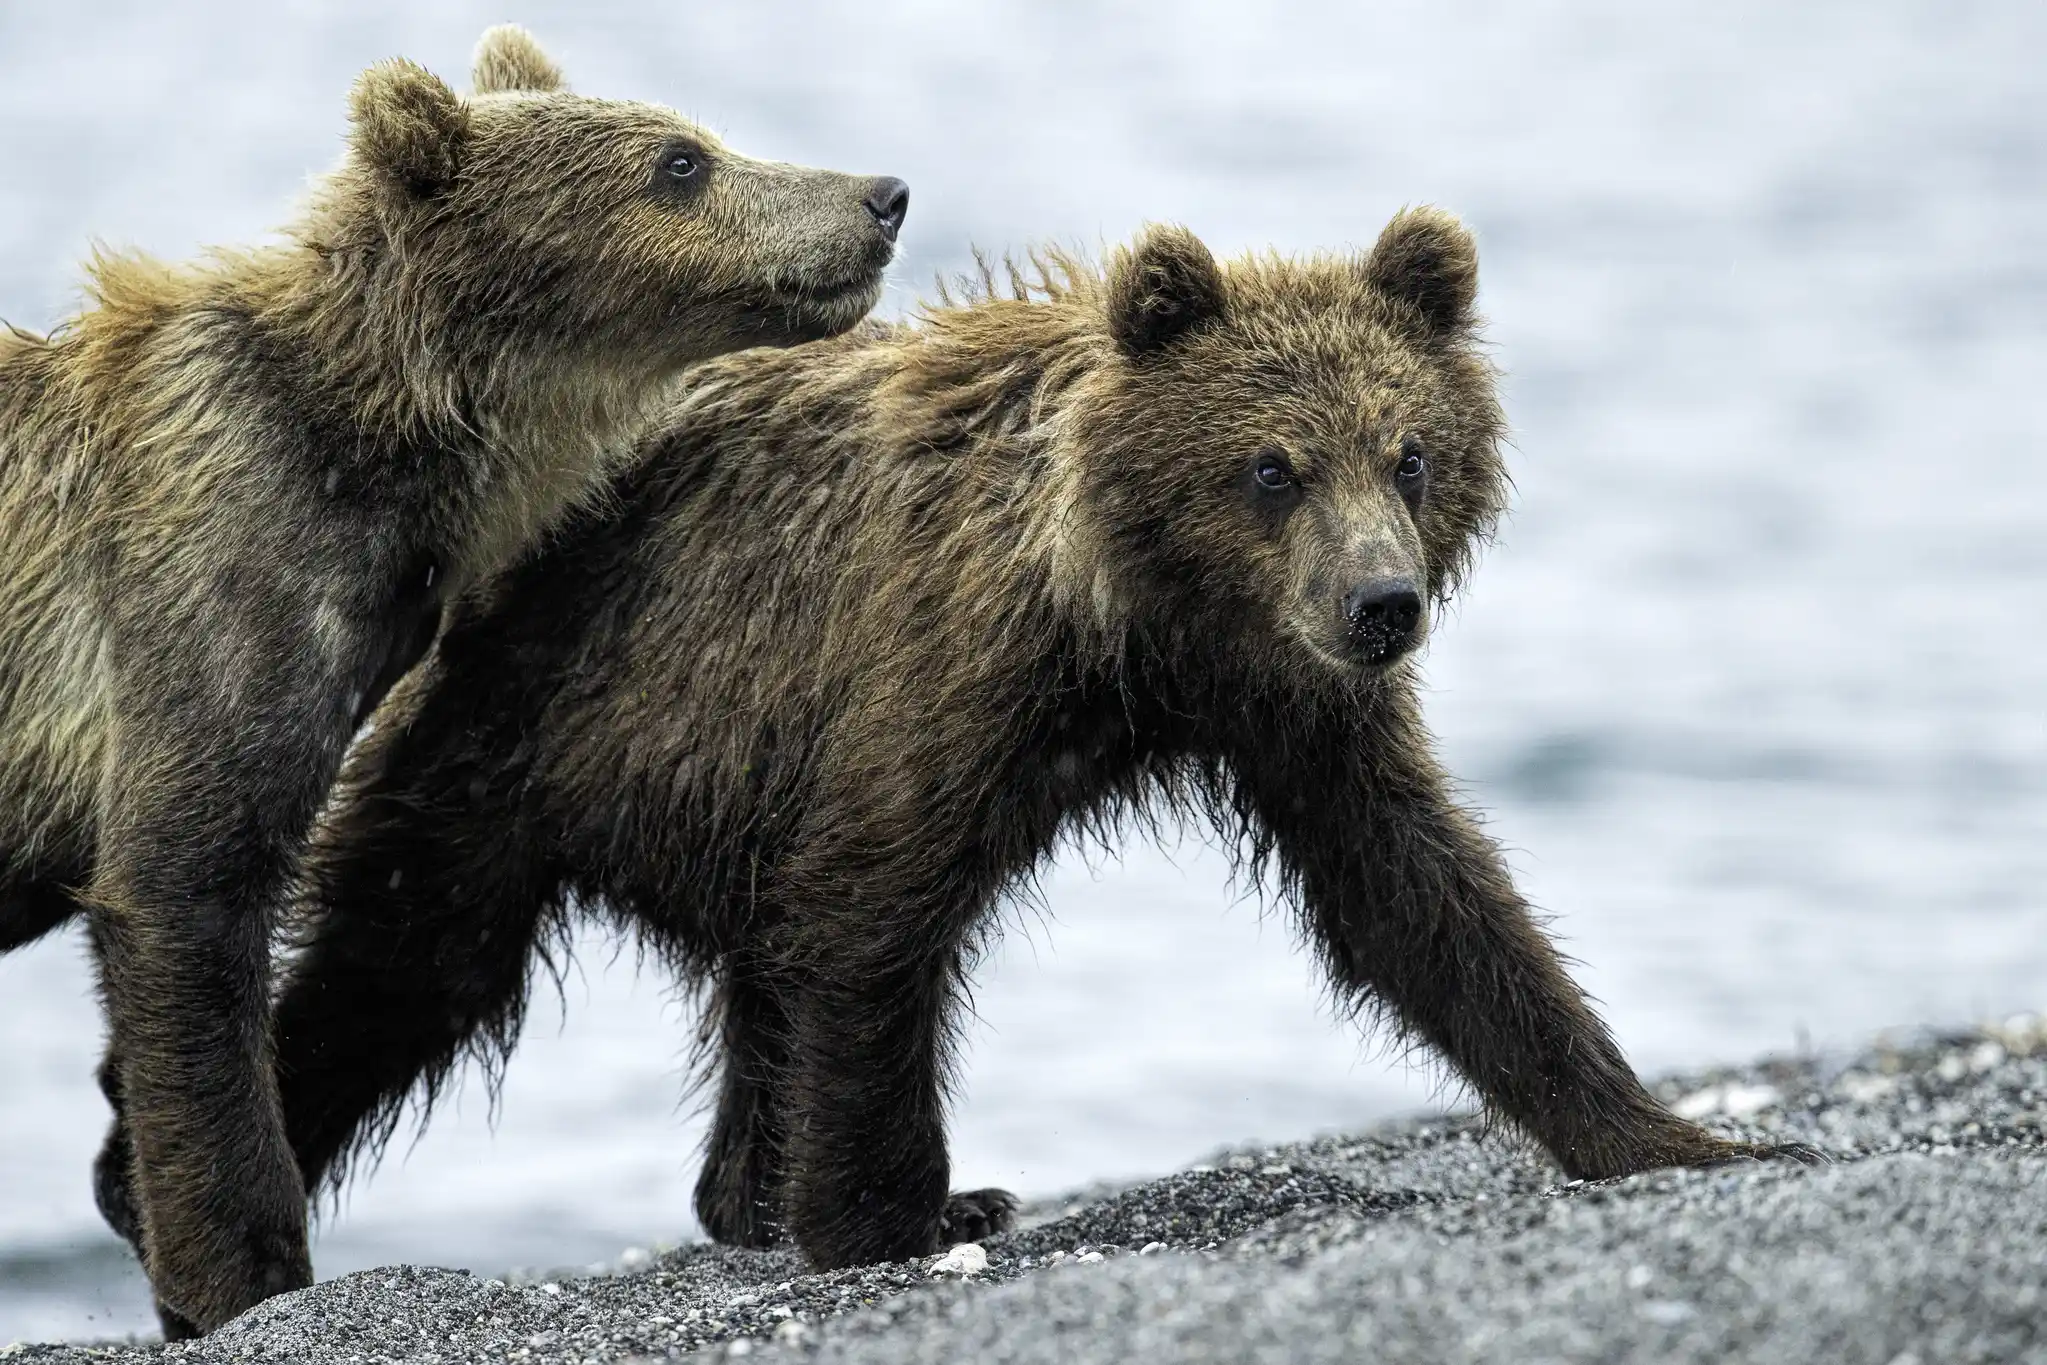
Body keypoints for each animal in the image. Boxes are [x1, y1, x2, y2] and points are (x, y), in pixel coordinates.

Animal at [0, 25, 907, 1335]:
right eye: (680, 162)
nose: (882, 196)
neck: (383, 448)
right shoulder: (203, 577)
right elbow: (182, 893)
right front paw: (244, 1274)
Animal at [266, 212, 1821, 1275]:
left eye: (1411, 452)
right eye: (1271, 465)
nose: (1383, 604)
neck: (1135, 625)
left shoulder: (1287, 707)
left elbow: (1419, 895)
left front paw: (1682, 1134)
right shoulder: (941, 667)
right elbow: (877, 911)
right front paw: (891, 1210)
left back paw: (738, 1191)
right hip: (532, 733)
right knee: (400, 970)